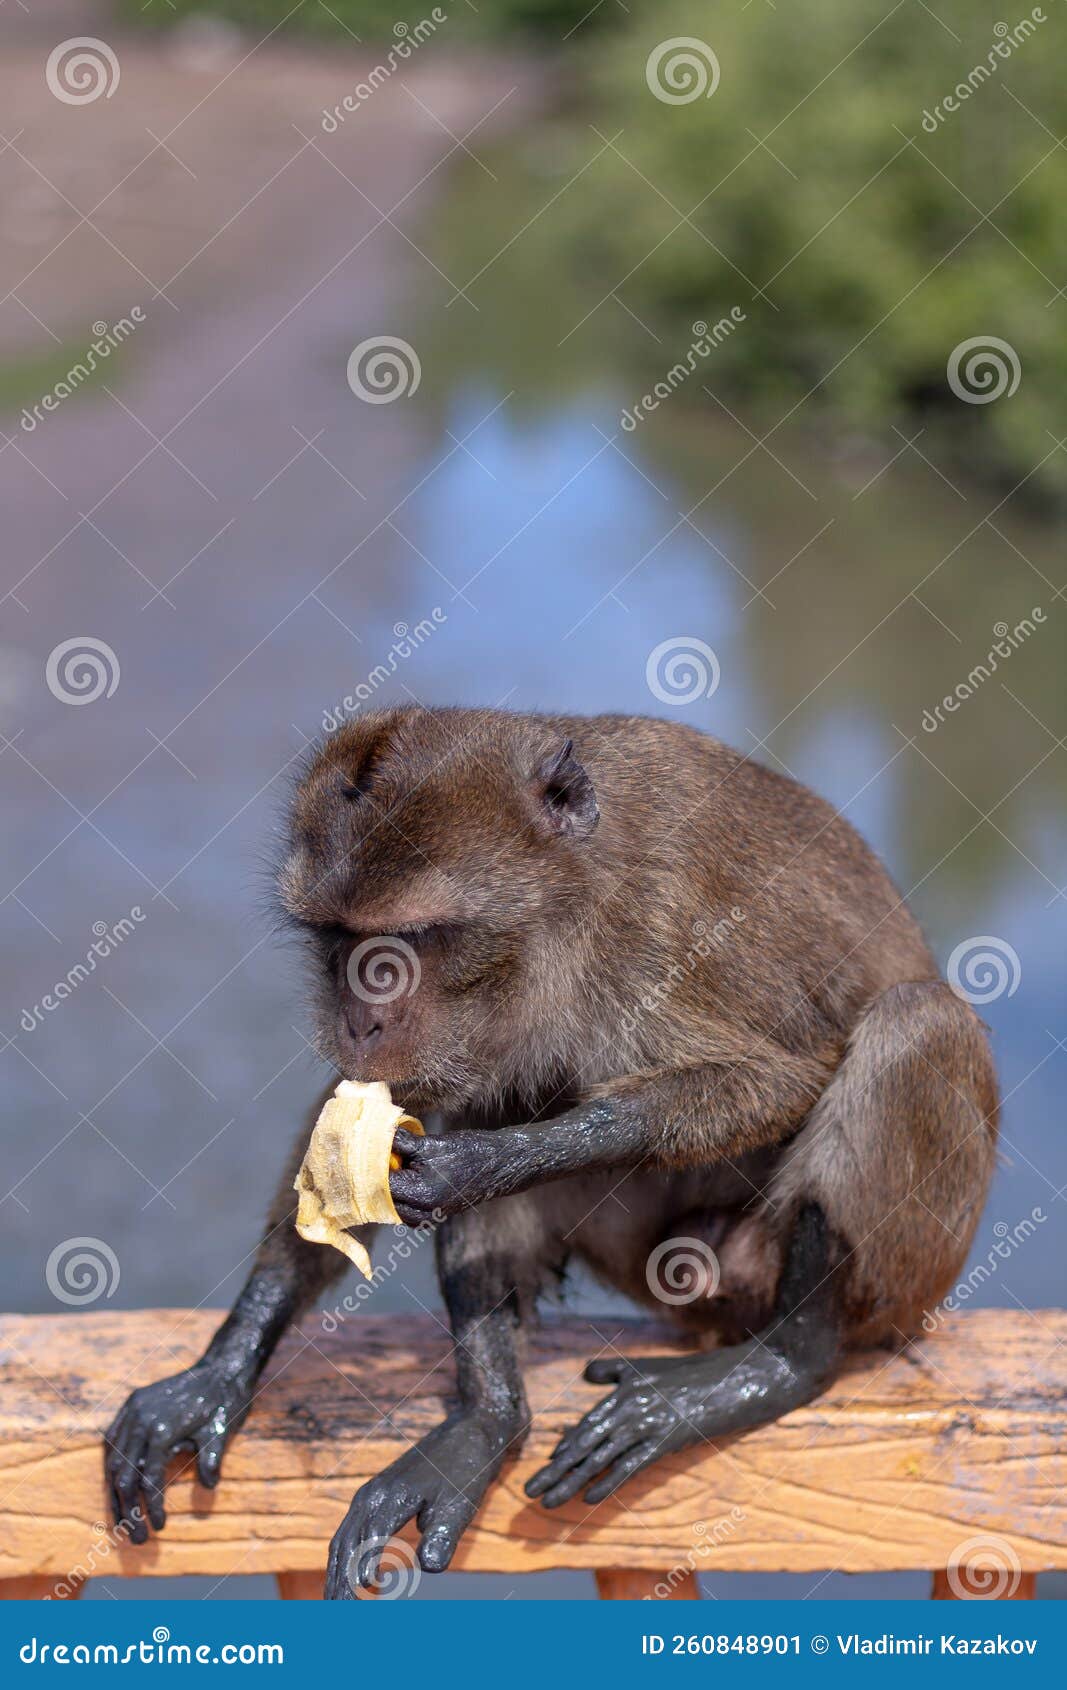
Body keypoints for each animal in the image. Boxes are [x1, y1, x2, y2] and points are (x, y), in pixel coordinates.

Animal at [104, 705, 998, 1599]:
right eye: (335, 939)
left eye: (403, 943)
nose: (359, 1016)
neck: (558, 906)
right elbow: (366, 1106)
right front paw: (224, 1366)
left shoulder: (659, 920)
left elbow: (779, 1079)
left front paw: (480, 1167)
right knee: (492, 1091)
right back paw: (489, 1419)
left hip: (881, 1278)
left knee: (916, 1020)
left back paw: (784, 1360)